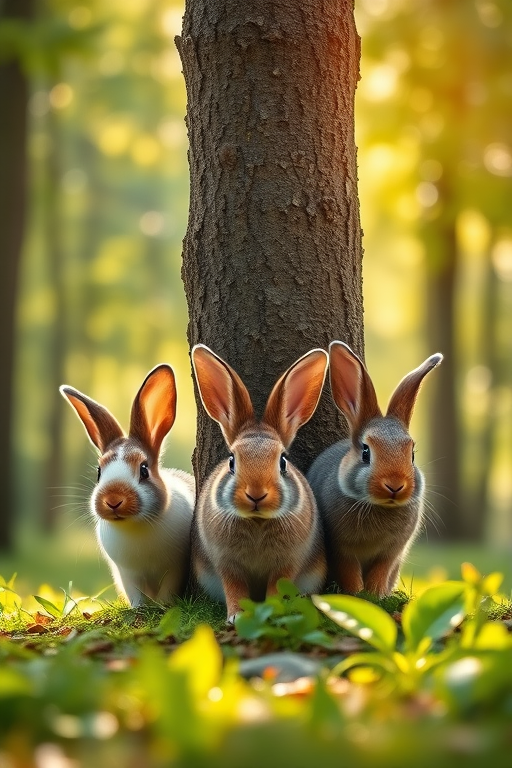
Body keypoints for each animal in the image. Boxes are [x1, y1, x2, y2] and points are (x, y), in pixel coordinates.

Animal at [60, 364, 195, 607]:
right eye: (99, 471)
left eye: (144, 469)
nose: (113, 500)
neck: (135, 526)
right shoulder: (127, 573)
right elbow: (135, 593)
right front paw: (139, 608)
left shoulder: (175, 569)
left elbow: (168, 590)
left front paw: (163, 606)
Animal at [191, 344, 329, 622]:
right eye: (232, 461)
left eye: (283, 461)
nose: (256, 494)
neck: (256, 520)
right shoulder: (227, 563)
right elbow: (234, 588)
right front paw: (236, 616)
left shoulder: (286, 563)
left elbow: (277, 586)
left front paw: (273, 611)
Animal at [307, 341, 443, 598]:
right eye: (366, 452)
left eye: (412, 454)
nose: (395, 485)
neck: (379, 506)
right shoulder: (342, 550)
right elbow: (349, 572)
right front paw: (356, 595)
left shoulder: (390, 553)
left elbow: (381, 571)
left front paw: (375, 596)